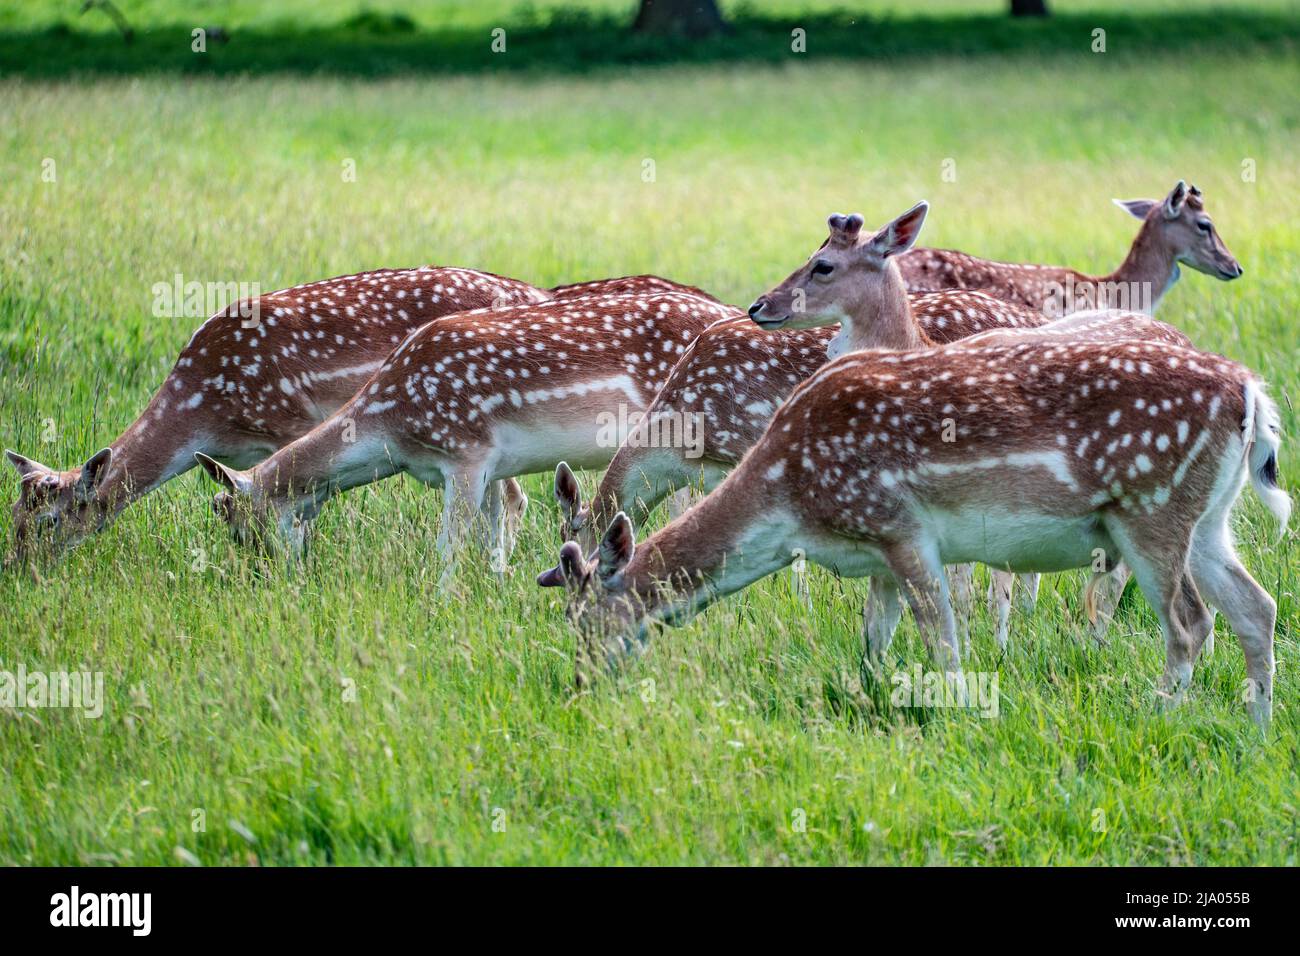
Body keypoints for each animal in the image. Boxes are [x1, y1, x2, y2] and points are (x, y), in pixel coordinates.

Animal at [192, 291, 741, 577]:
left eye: (240, 528)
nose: (270, 576)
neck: (393, 425)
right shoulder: (485, 466)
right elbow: (491, 529)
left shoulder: (466, 453)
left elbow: (449, 548)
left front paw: (442, 605)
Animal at [540, 338, 1287, 727]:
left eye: (587, 618)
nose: (576, 684)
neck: (790, 504)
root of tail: (1251, 392)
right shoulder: (872, 555)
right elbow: (873, 644)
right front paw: (868, 702)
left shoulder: (900, 527)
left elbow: (944, 641)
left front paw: (964, 717)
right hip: (1208, 519)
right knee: (1257, 606)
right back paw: (1256, 728)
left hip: (1149, 508)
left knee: (1191, 622)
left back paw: (1158, 716)